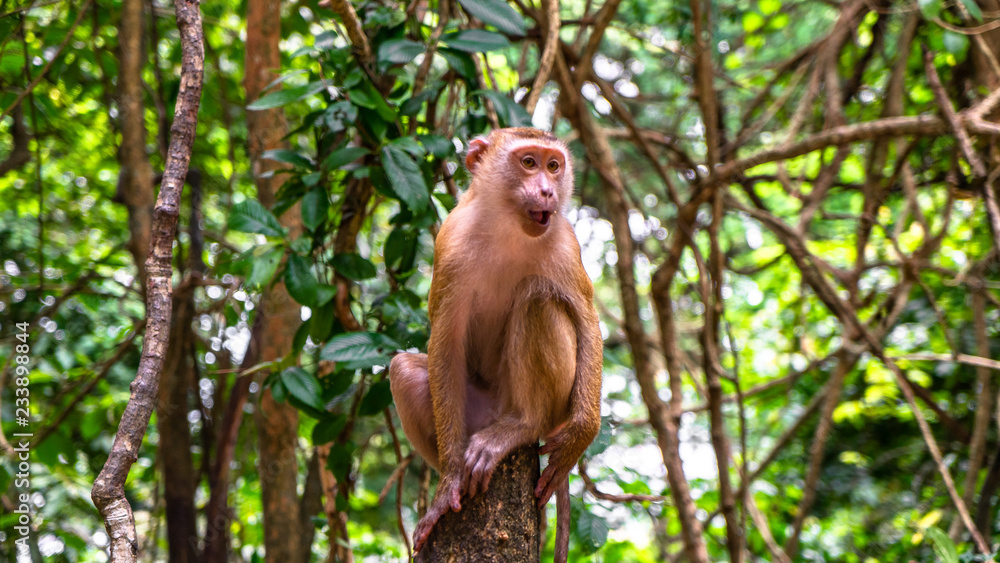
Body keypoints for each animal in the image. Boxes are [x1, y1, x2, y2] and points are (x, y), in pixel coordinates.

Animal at [389, 127, 603, 562]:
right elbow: (445, 342)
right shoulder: (450, 243)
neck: (508, 227)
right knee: (403, 369)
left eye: (554, 166)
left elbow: (587, 320)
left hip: (554, 401)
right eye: (529, 163)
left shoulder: (565, 242)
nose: (548, 190)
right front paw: (448, 483)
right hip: (471, 412)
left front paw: (580, 436)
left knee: (538, 297)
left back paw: (522, 425)